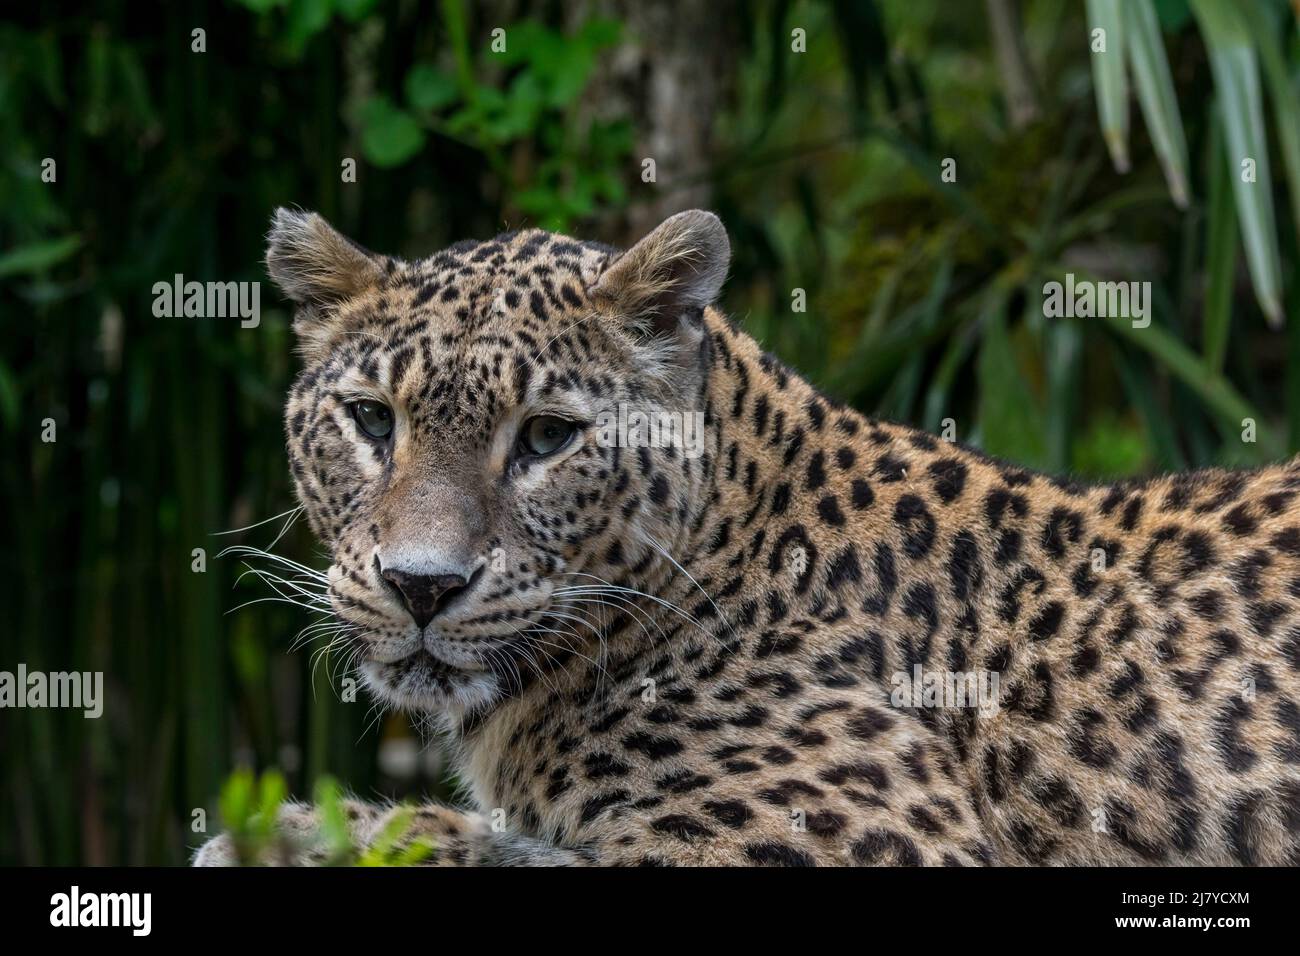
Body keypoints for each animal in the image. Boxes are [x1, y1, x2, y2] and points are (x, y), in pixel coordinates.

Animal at [196, 207, 1300, 866]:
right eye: (371, 420)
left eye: (547, 436)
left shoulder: (866, 838)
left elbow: (526, 852)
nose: (422, 585)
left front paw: (304, 835)